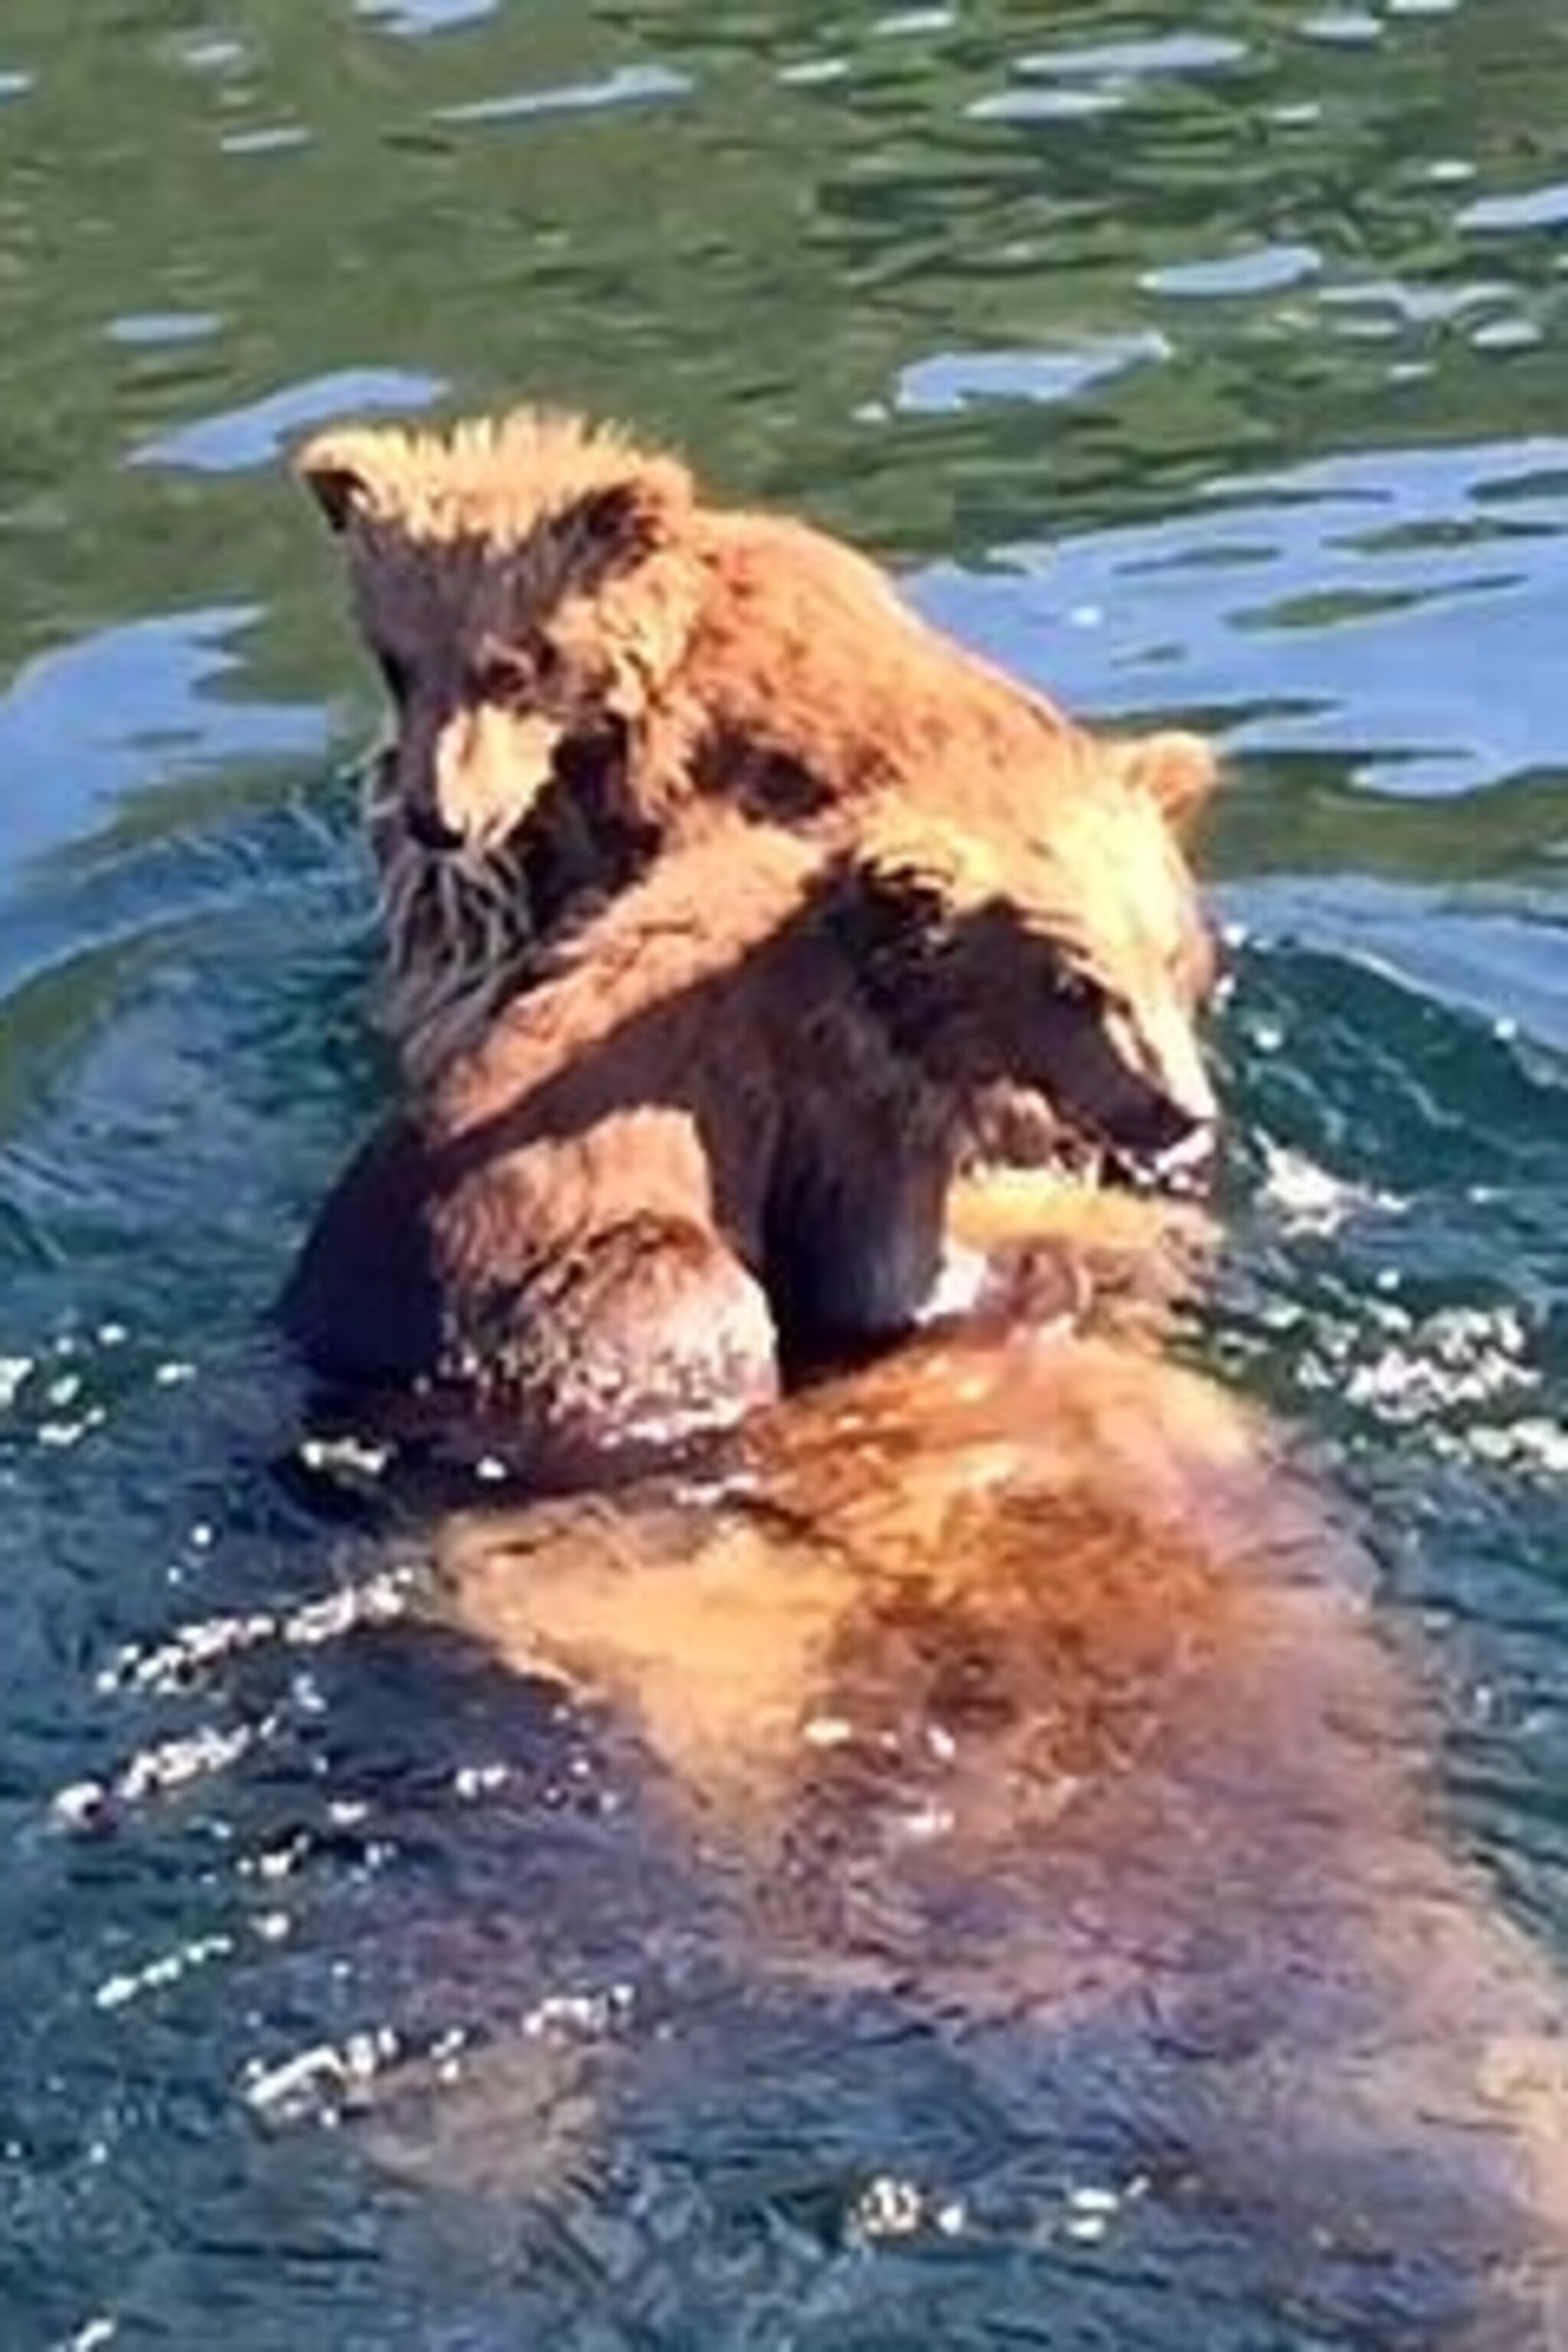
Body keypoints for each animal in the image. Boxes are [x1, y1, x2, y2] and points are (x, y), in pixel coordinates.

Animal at [280, 772, 1218, 1486]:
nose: (1182, 1109)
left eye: (1169, 956)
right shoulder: (842, 1103)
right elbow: (878, 1277)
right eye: (1074, 986)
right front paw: (1034, 1270)